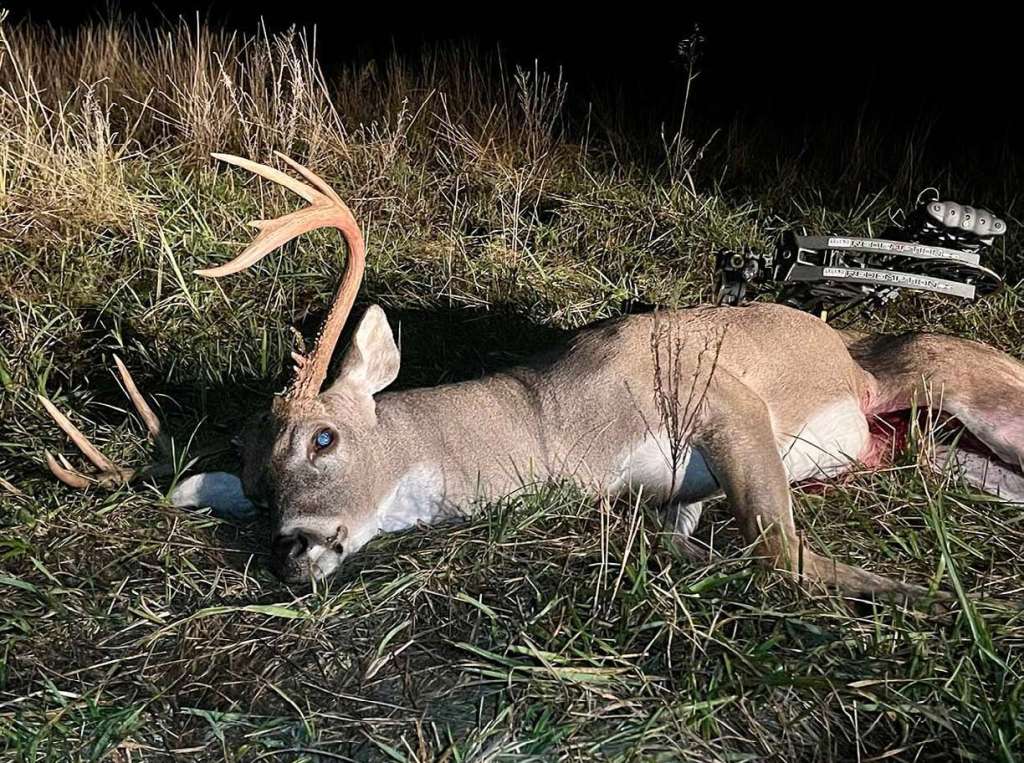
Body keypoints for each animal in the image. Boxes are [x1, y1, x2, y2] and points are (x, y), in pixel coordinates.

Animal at [38, 152, 1024, 600]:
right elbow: (698, 537)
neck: (556, 426)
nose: (292, 548)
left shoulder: (720, 396)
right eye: (249, 487)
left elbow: (783, 551)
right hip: (936, 450)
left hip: (958, 387)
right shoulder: (664, 494)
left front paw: (911, 594)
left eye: (322, 435)